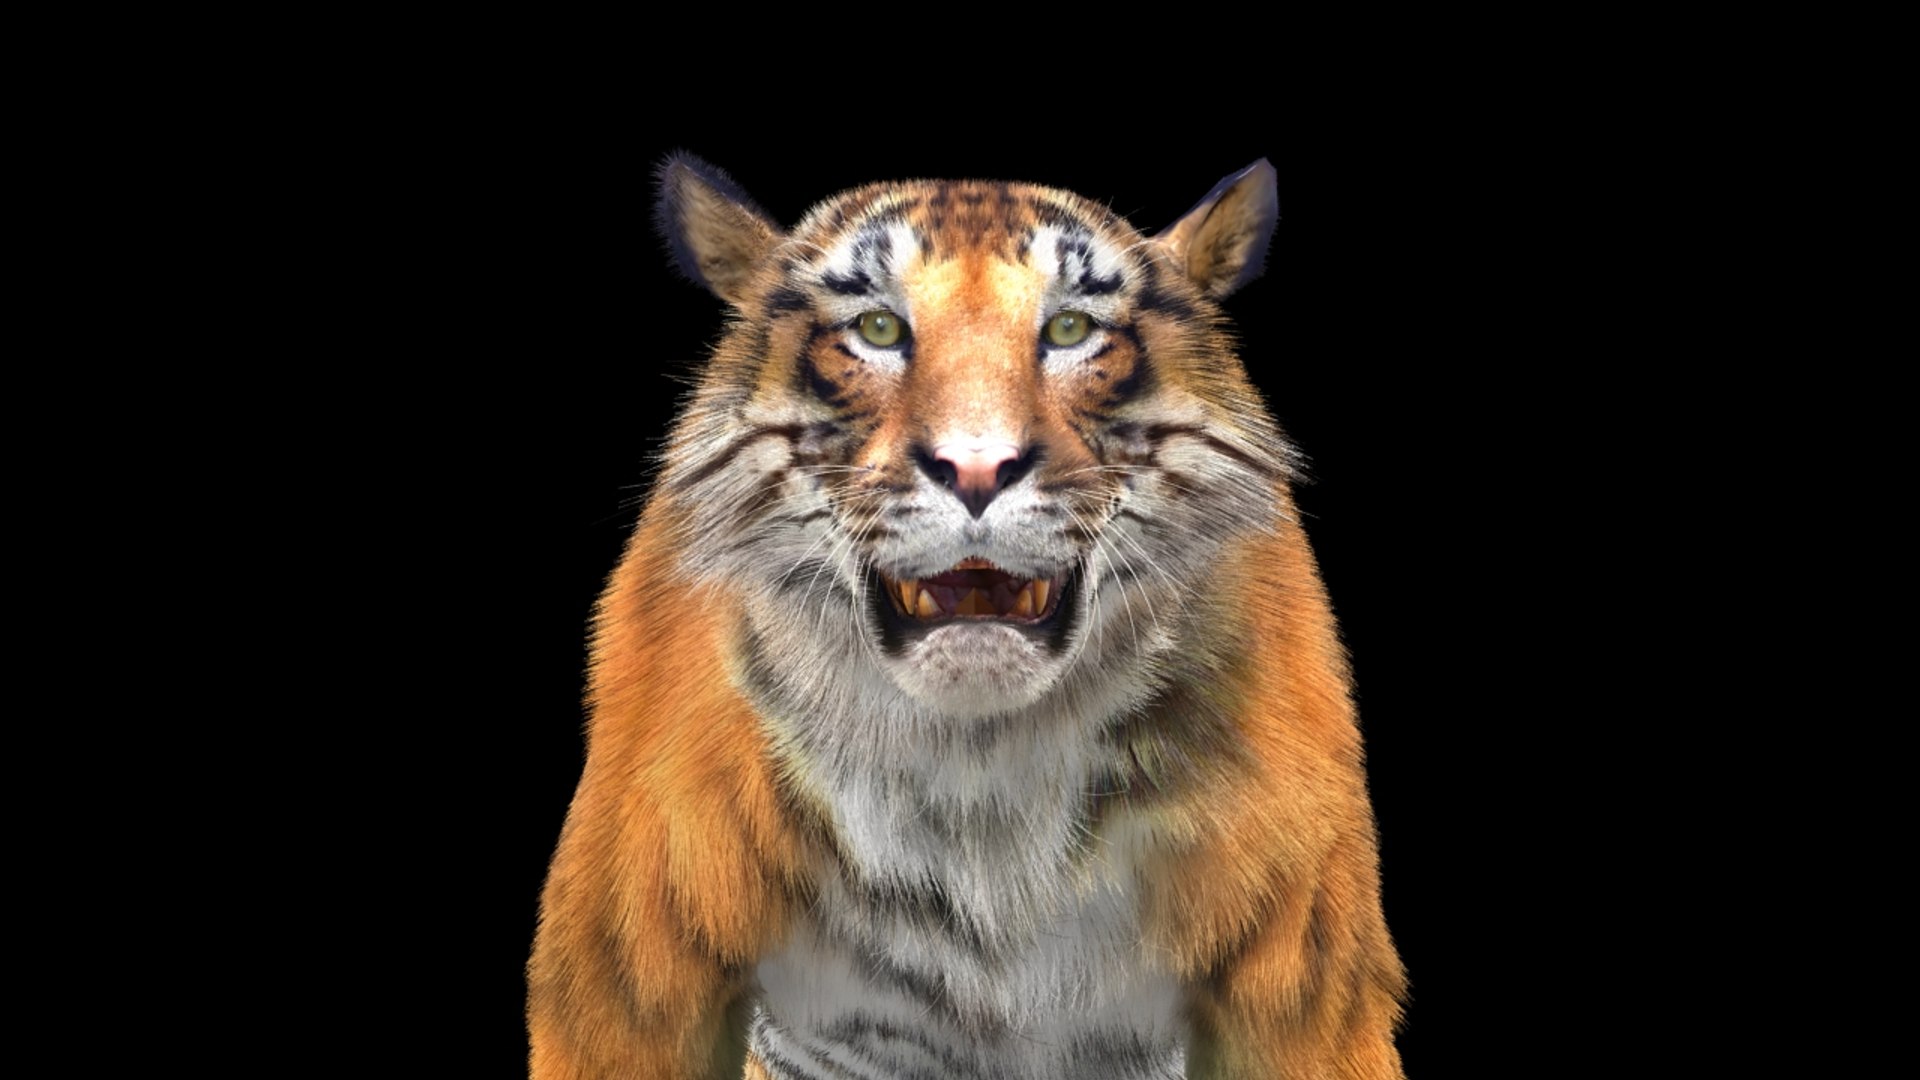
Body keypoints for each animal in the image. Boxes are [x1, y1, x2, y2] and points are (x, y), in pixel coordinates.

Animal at [527, 154, 1406, 1079]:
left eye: (1069, 329)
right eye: (878, 329)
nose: (977, 467)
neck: (983, 787)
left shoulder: (1308, 995)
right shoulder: (622, 988)